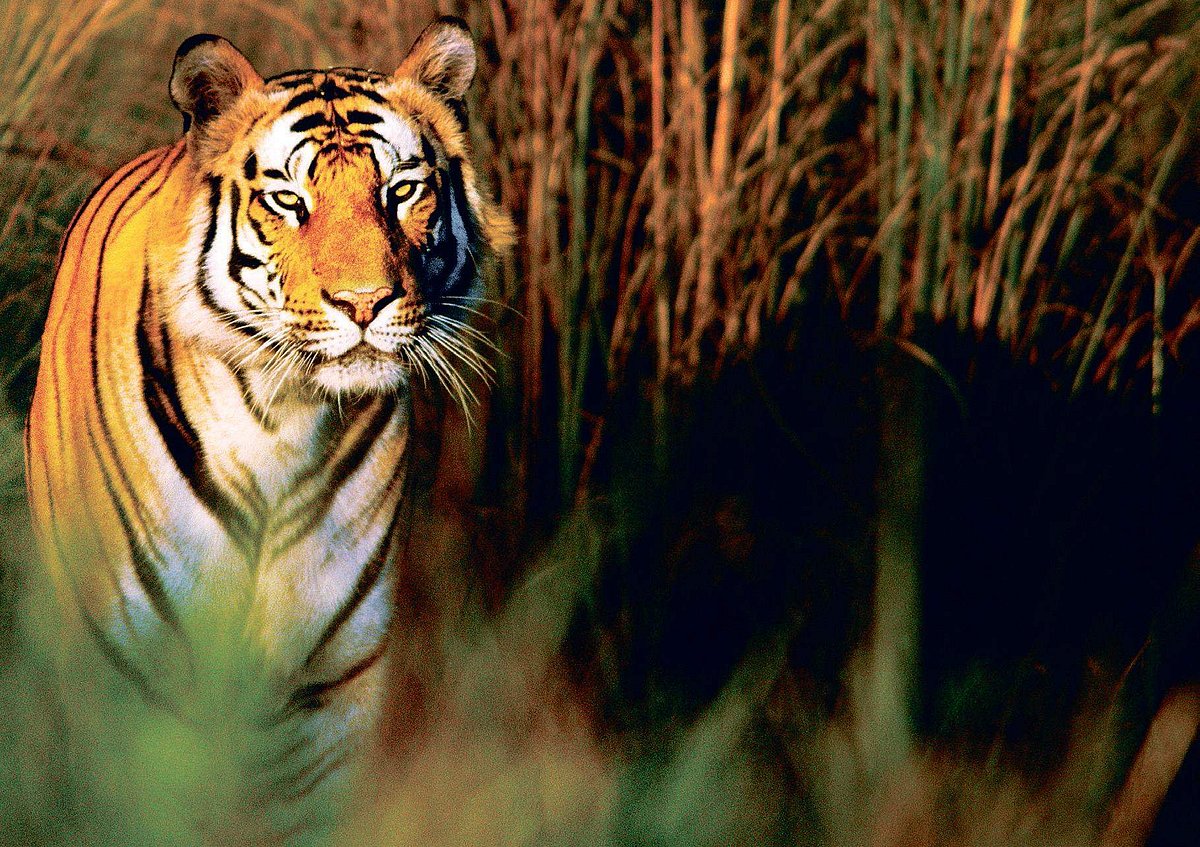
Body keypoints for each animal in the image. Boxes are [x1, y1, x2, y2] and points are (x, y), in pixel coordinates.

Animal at [20, 17, 512, 844]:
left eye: (401, 191)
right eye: (288, 199)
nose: (364, 302)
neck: (282, 420)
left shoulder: (328, 698)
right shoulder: (130, 681)